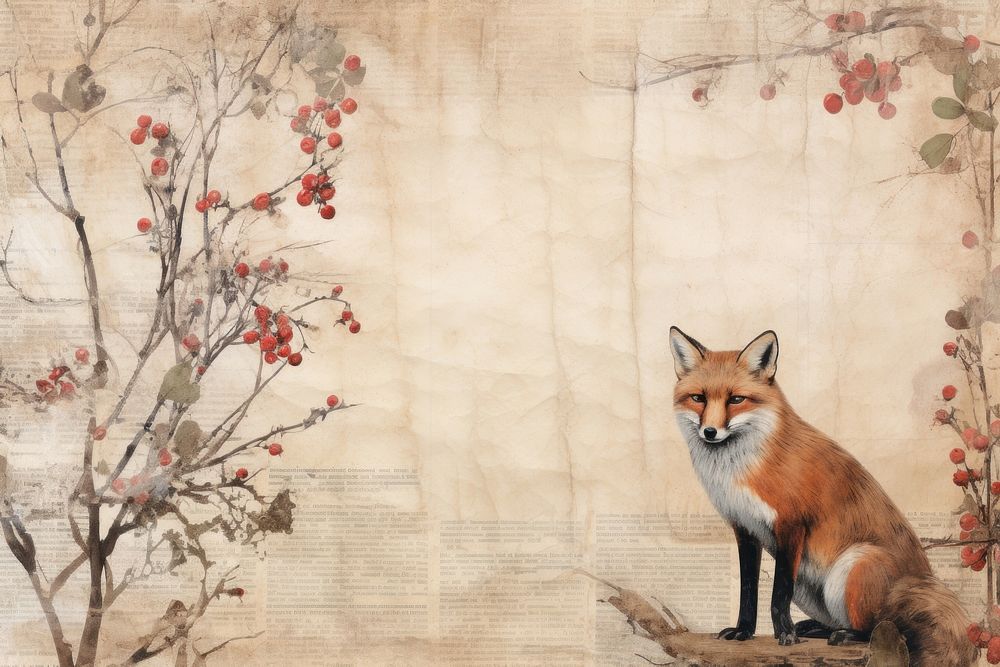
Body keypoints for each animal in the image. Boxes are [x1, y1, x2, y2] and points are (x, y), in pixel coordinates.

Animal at [668, 326, 977, 666]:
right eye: (698, 398)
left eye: (736, 399)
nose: (709, 432)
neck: (741, 469)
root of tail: (919, 579)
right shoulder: (745, 528)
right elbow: (748, 592)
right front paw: (743, 632)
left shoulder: (791, 524)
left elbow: (778, 593)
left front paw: (785, 635)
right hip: (811, 585)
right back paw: (815, 628)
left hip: (853, 566)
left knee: (878, 625)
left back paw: (844, 635)